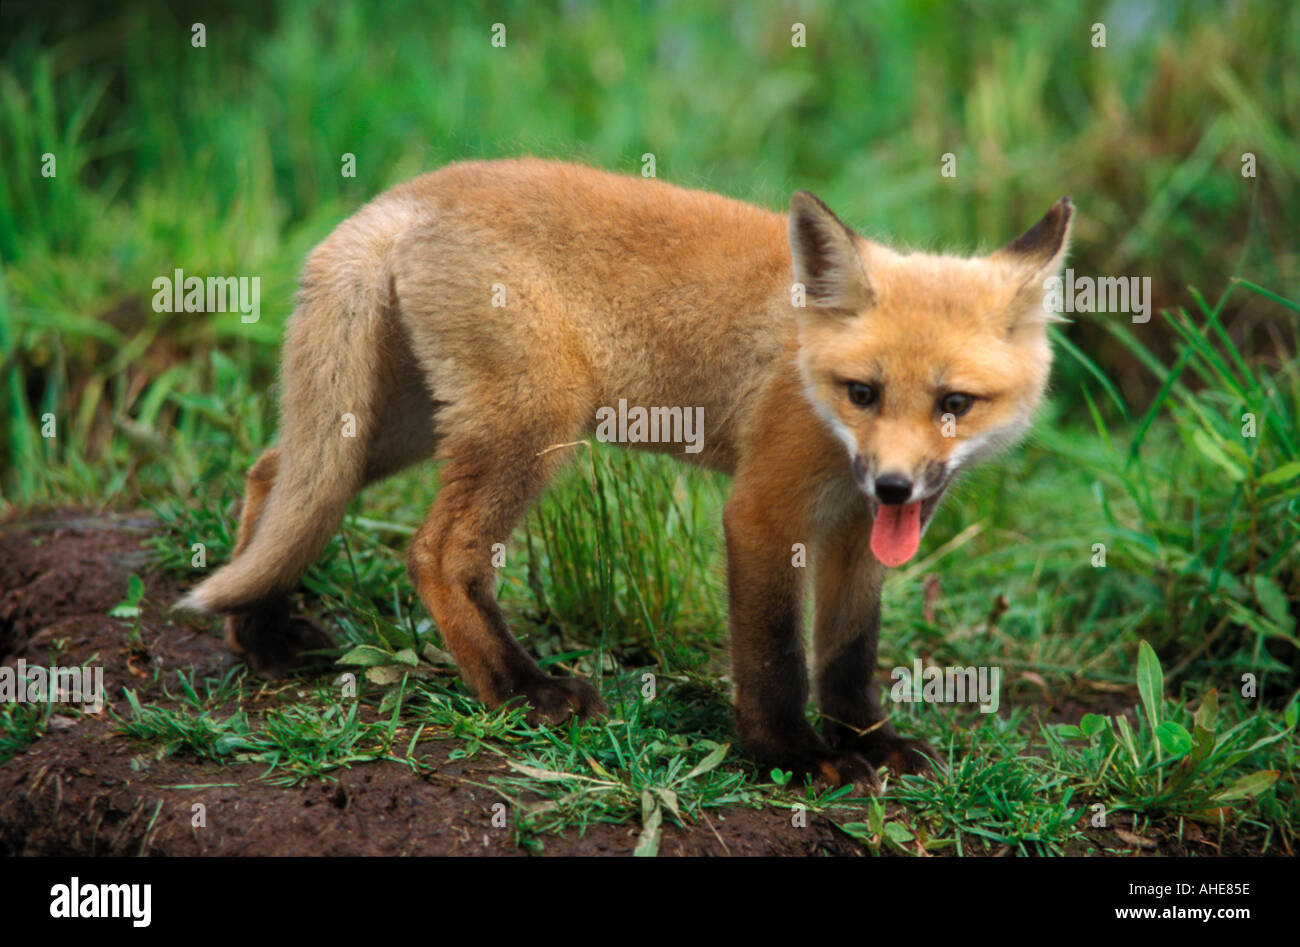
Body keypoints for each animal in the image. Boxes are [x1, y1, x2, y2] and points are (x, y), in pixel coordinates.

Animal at [180, 158, 1072, 790]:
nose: (892, 485)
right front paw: (789, 755)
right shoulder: (762, 512)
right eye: (865, 392)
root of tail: (410, 195)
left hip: (393, 424)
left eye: (955, 403)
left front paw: (871, 741)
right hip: (532, 420)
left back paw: (258, 627)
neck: (807, 374)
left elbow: (849, 654)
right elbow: (775, 655)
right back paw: (522, 689)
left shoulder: (856, 533)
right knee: (436, 553)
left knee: (276, 476)